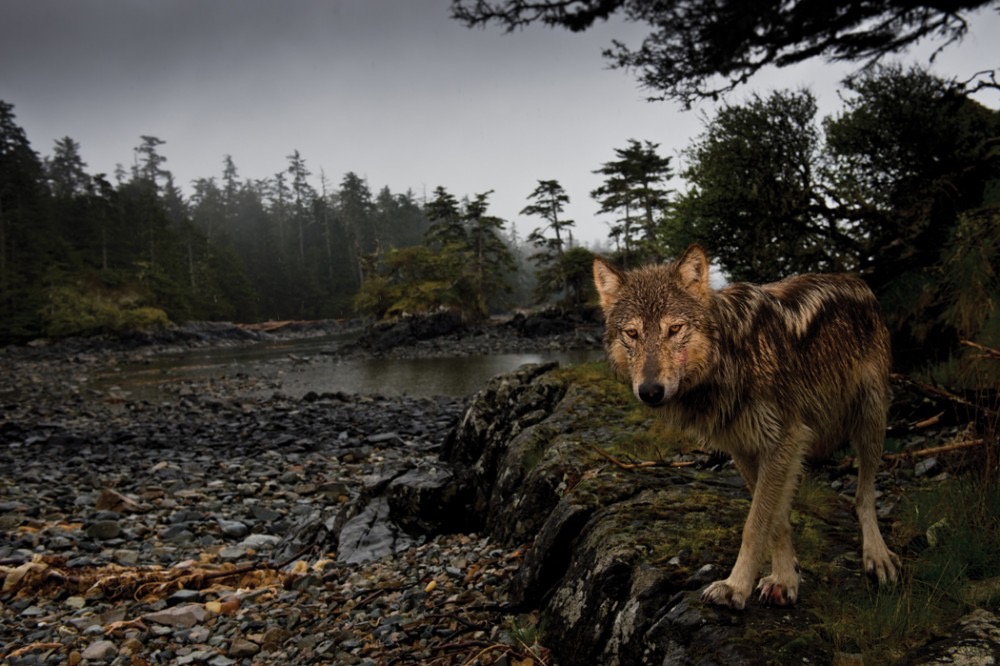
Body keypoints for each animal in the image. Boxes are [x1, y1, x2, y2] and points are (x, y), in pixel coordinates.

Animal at [592, 244, 900, 609]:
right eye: (632, 334)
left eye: (675, 329)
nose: (650, 391)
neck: (729, 358)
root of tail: (856, 279)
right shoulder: (745, 448)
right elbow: (775, 519)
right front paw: (785, 577)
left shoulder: (784, 439)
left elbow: (754, 525)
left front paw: (735, 586)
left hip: (870, 418)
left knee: (864, 495)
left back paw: (877, 555)